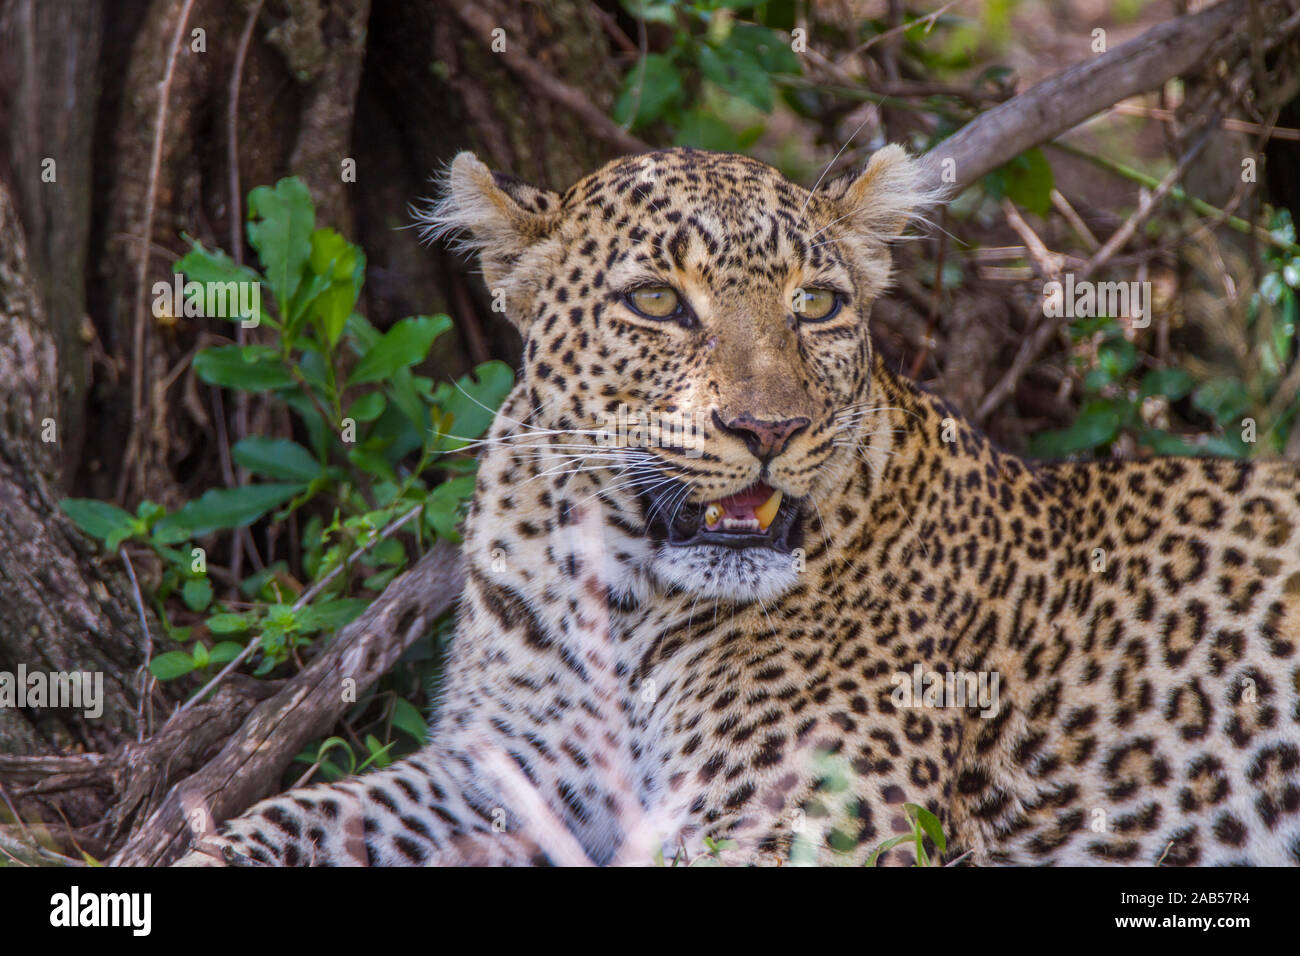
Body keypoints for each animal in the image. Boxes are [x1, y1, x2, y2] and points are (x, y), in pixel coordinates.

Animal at [176, 145, 1300, 867]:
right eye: (657, 303)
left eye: (817, 305)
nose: (770, 429)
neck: (622, 592)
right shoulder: (505, 770)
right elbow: (314, 810)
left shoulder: (808, 823)